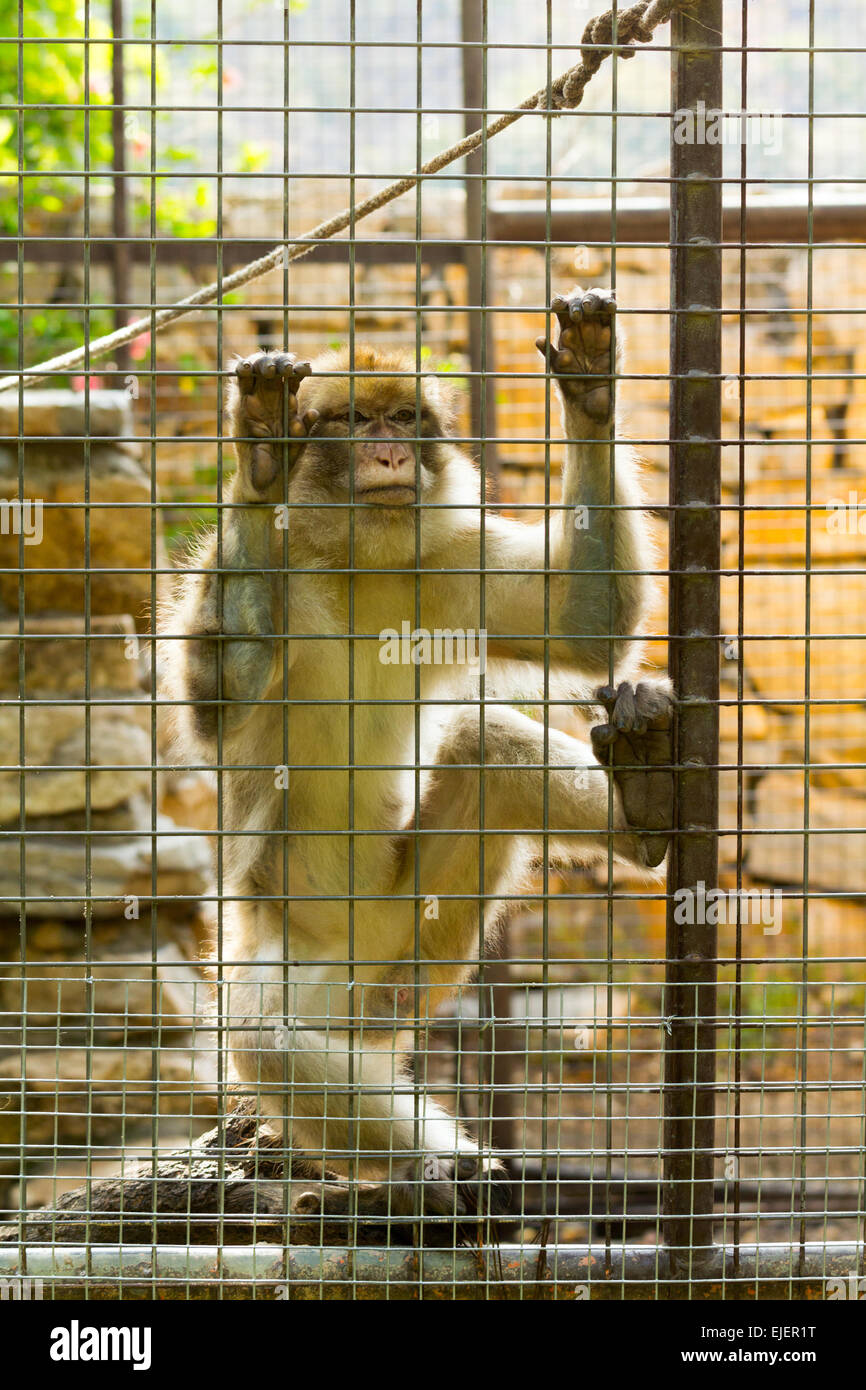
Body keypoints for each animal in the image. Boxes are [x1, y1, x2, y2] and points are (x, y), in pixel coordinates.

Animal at [162, 288, 674, 1222]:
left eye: (403, 417)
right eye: (357, 423)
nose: (393, 453)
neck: (359, 556)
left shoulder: (449, 559)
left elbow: (582, 613)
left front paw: (591, 389)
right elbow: (221, 693)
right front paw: (260, 458)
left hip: (414, 954)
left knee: (484, 745)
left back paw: (647, 802)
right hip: (306, 960)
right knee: (270, 1037)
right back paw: (424, 1170)